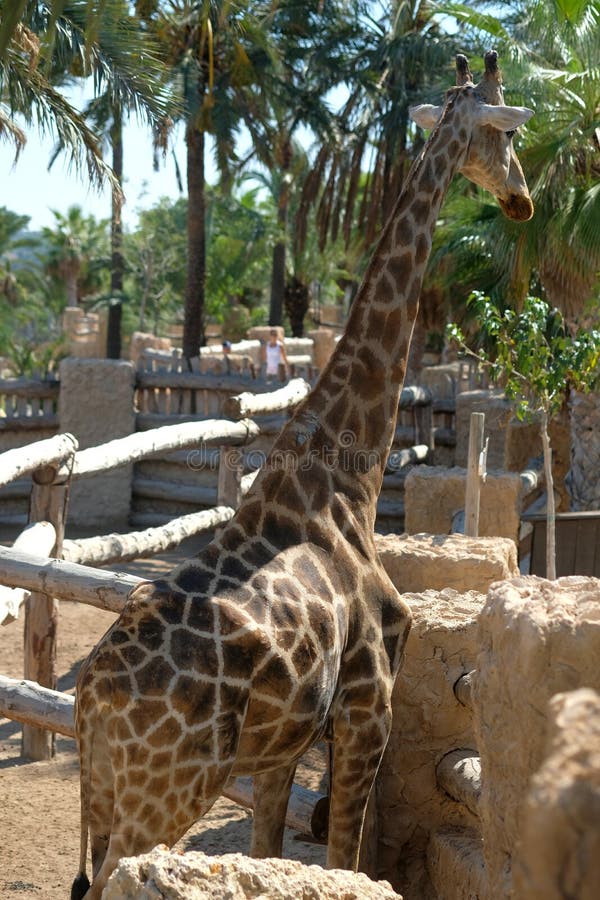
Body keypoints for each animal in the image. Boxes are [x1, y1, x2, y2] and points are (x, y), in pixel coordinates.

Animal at [72, 51, 533, 899]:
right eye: (506, 135)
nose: (521, 201)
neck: (349, 475)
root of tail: (88, 702)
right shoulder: (367, 707)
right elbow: (347, 858)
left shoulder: (284, 744)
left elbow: (268, 852)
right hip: (164, 795)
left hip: (107, 803)